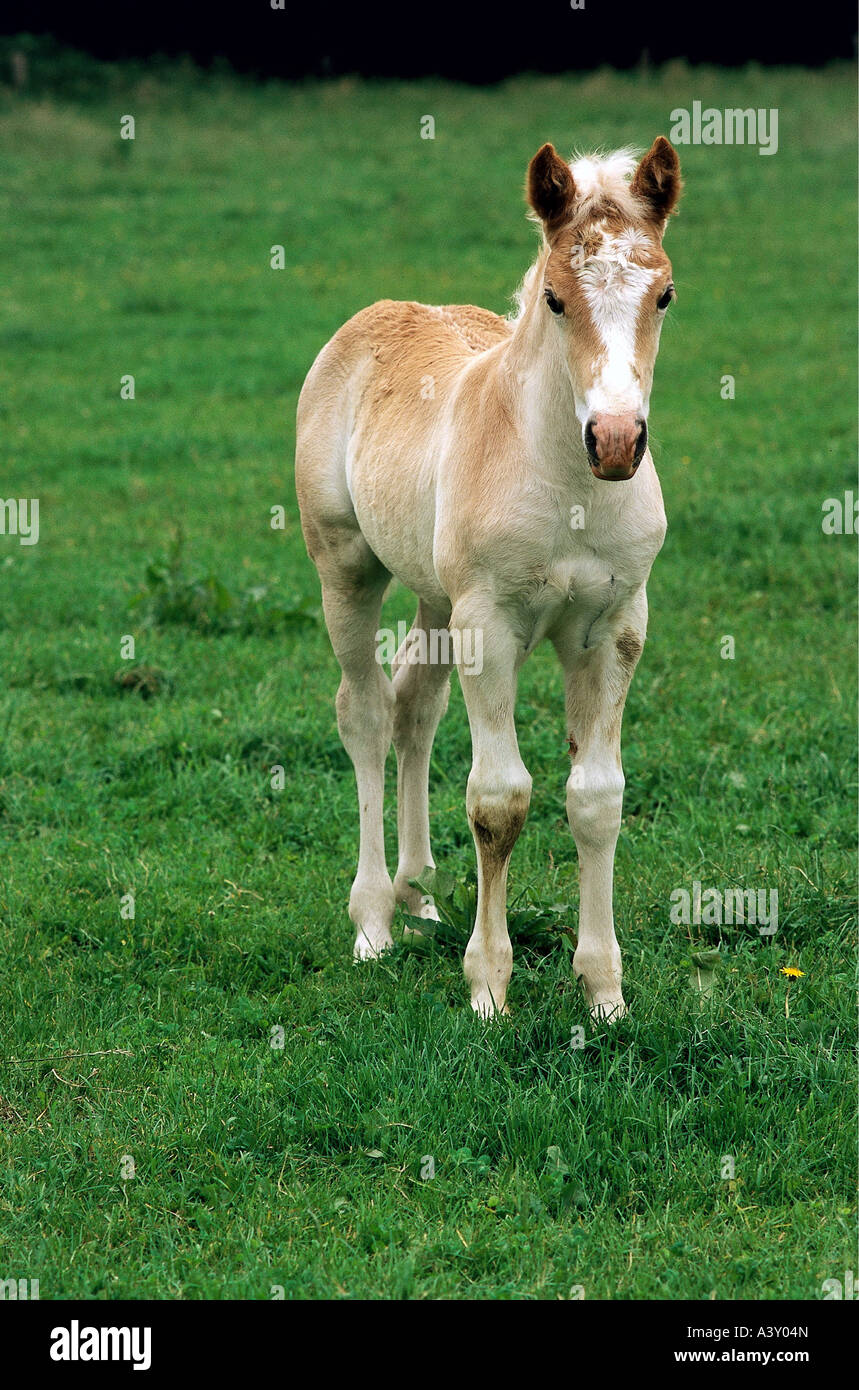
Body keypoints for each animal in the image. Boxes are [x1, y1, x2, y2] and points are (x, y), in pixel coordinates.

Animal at [295, 136, 682, 1020]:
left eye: (665, 295)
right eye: (554, 299)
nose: (615, 441)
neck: (568, 488)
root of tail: (382, 312)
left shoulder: (617, 627)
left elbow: (596, 798)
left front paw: (603, 993)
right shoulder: (489, 626)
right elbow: (498, 801)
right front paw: (488, 989)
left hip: (435, 595)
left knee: (413, 705)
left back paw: (418, 894)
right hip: (348, 567)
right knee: (365, 712)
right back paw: (373, 920)